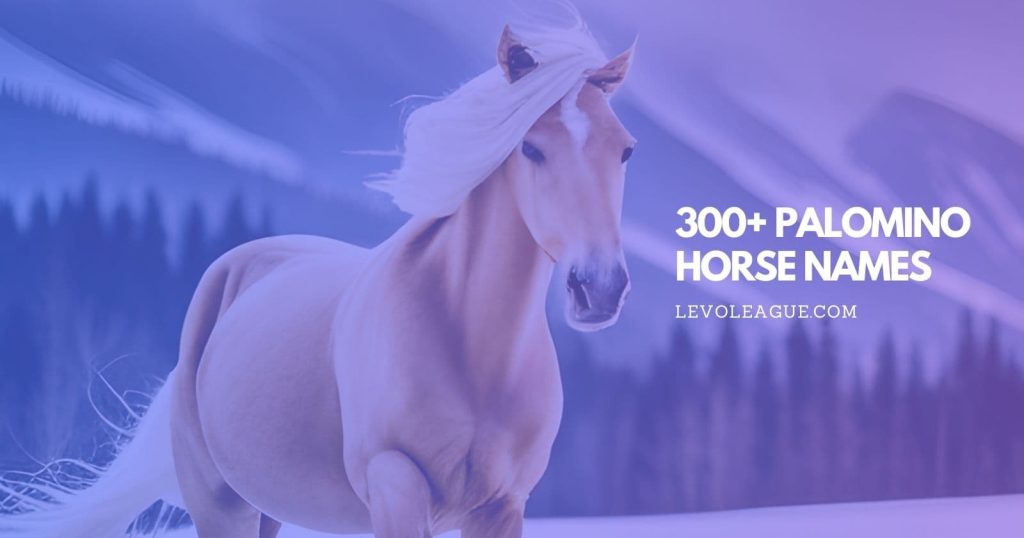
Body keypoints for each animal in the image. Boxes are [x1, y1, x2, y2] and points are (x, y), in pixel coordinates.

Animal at [1, 19, 636, 538]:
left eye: (625, 151)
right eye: (530, 148)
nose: (599, 288)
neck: (469, 347)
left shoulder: (501, 506)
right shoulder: (395, 484)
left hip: (269, 508)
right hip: (219, 502)